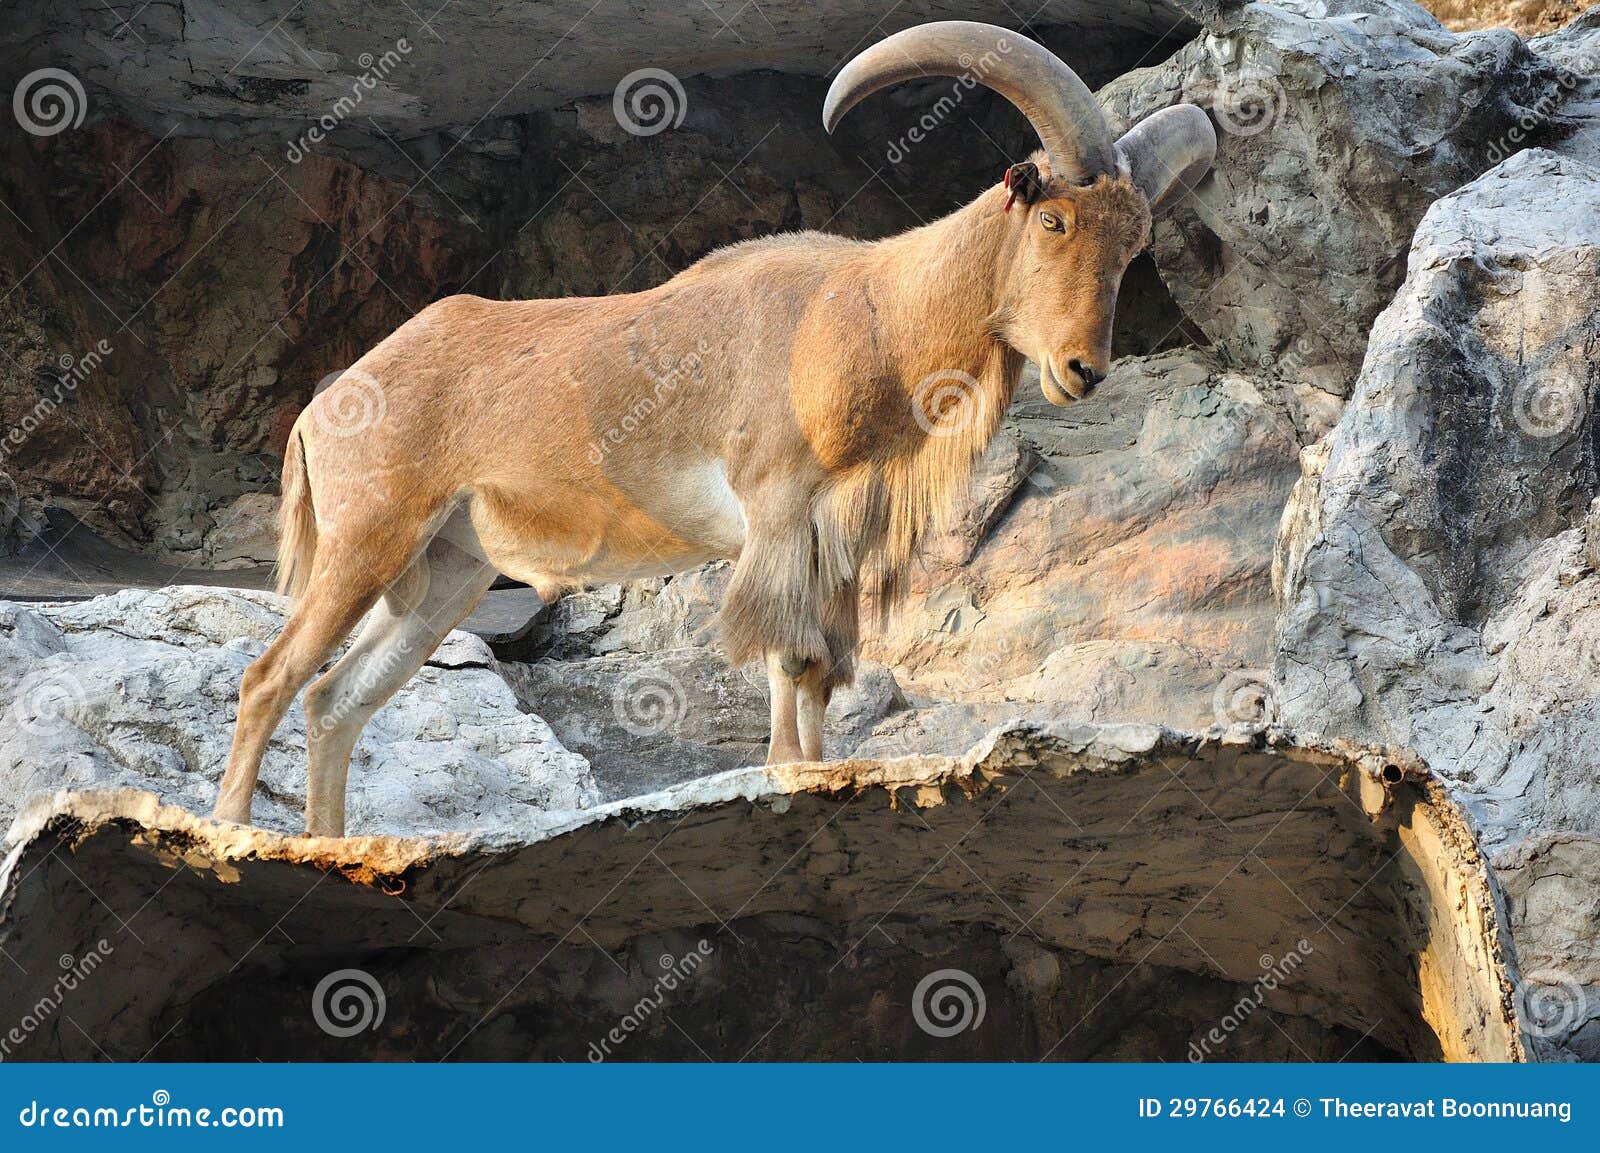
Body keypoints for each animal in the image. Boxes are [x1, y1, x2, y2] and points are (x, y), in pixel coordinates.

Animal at [213, 20, 1217, 836]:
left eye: (1132, 243)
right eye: (1053, 219)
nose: (1084, 369)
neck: (865, 317)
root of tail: (327, 405)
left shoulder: (834, 542)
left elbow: (822, 667)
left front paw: (818, 769)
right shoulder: (774, 513)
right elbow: (788, 654)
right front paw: (783, 770)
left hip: (447, 572)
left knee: (336, 700)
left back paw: (331, 844)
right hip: (368, 539)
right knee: (271, 680)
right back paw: (235, 833)